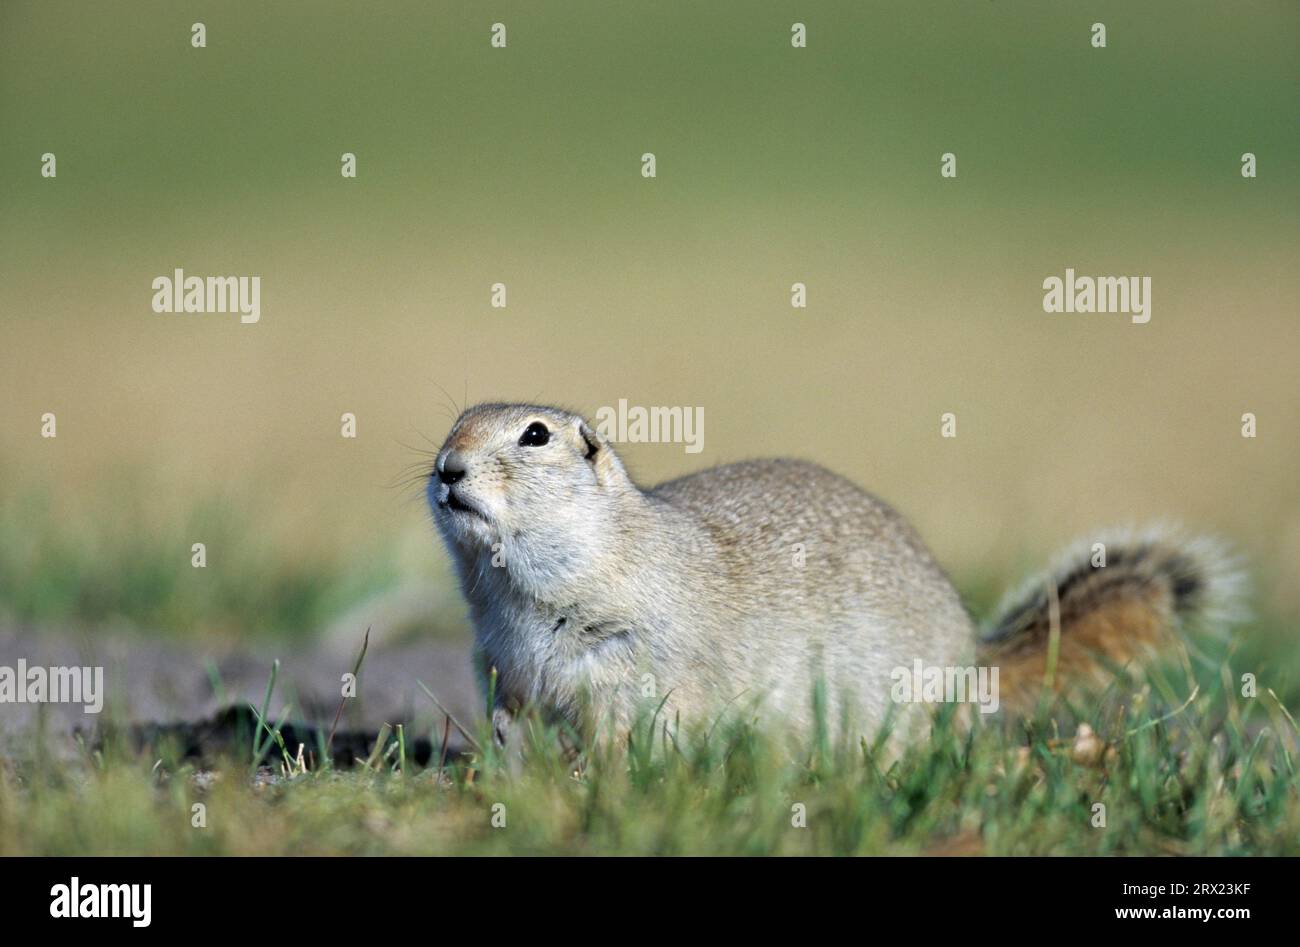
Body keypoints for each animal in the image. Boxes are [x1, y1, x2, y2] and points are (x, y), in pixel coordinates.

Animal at [427, 402, 1244, 748]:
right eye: (455, 422)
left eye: (535, 435)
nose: (446, 467)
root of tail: (972, 663)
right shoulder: (505, 663)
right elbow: (515, 714)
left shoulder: (639, 664)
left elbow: (631, 733)